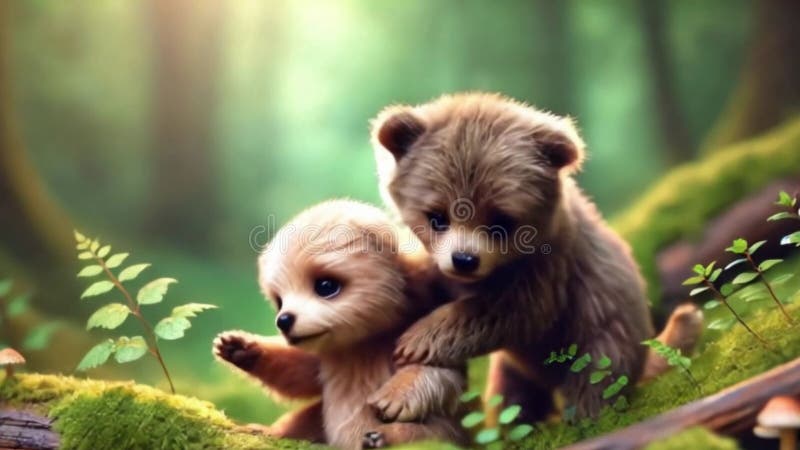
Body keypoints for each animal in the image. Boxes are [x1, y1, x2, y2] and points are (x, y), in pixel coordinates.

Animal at [214, 199, 468, 449]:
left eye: (326, 286)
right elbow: (303, 374)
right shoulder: (331, 354)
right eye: (279, 301)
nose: (284, 320)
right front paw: (240, 348)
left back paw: (384, 437)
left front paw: (397, 395)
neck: (364, 341)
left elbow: (444, 374)